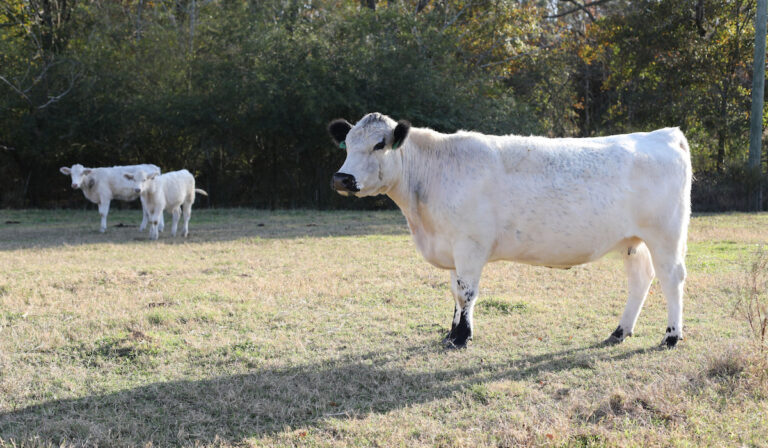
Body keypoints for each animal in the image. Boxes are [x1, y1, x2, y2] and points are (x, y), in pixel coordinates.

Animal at [328, 113, 691, 349]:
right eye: (346, 143)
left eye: (379, 144)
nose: (342, 178)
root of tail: (662, 134)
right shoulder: (452, 247)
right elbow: (454, 292)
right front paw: (451, 332)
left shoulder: (469, 245)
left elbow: (466, 293)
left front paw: (461, 337)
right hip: (633, 240)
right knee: (641, 279)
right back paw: (619, 332)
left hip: (666, 235)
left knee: (671, 278)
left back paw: (671, 336)